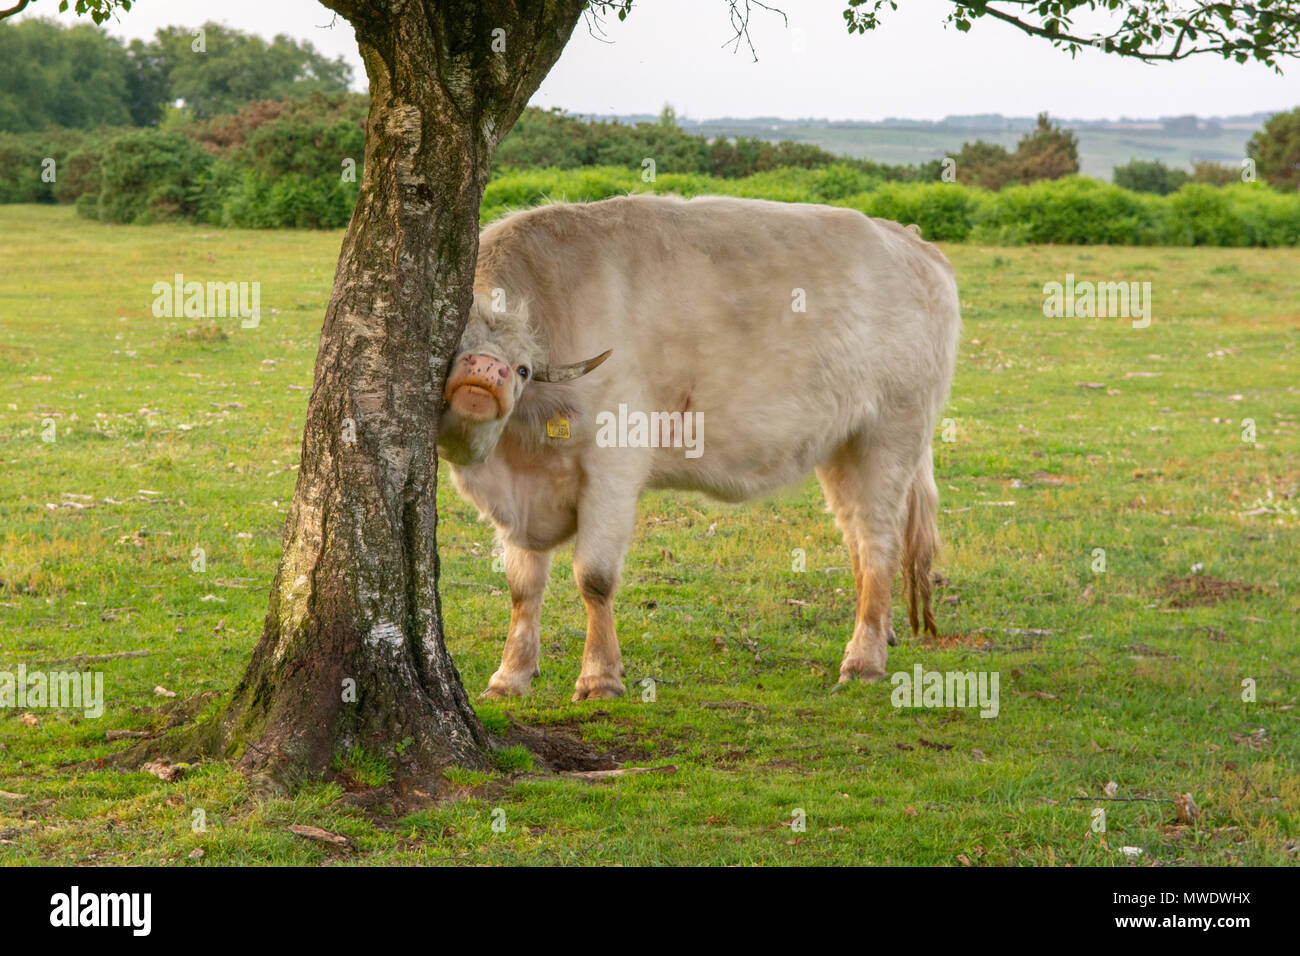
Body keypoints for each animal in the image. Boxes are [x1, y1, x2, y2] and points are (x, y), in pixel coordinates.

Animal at [438, 194, 960, 702]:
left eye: (523, 368)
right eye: (456, 348)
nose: (486, 369)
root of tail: (911, 242)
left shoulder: (613, 467)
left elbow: (595, 577)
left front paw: (600, 678)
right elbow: (522, 586)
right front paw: (510, 677)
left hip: (891, 435)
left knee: (878, 542)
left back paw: (864, 659)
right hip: (843, 448)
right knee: (857, 539)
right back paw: (881, 632)